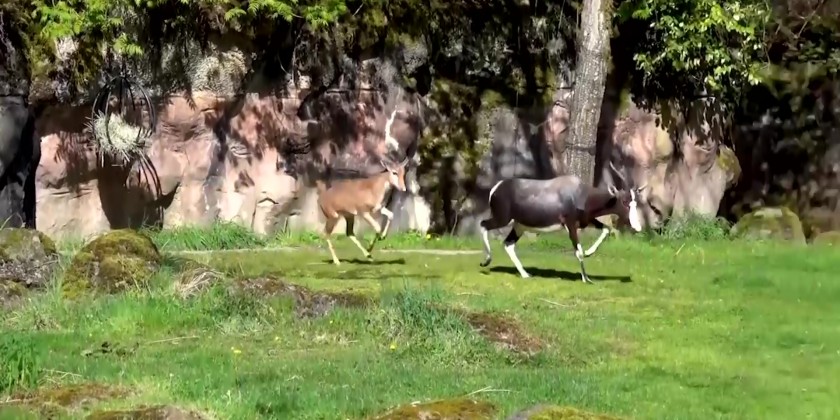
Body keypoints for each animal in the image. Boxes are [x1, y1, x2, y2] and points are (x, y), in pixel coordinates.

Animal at [478, 162, 647, 283]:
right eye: (624, 202)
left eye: (635, 202)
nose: (637, 226)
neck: (580, 193)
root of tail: (496, 187)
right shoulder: (570, 225)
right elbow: (578, 251)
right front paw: (586, 279)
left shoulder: (586, 221)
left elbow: (605, 230)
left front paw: (589, 255)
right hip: (502, 219)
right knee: (483, 224)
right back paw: (486, 262)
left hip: (519, 226)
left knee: (508, 244)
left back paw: (526, 274)